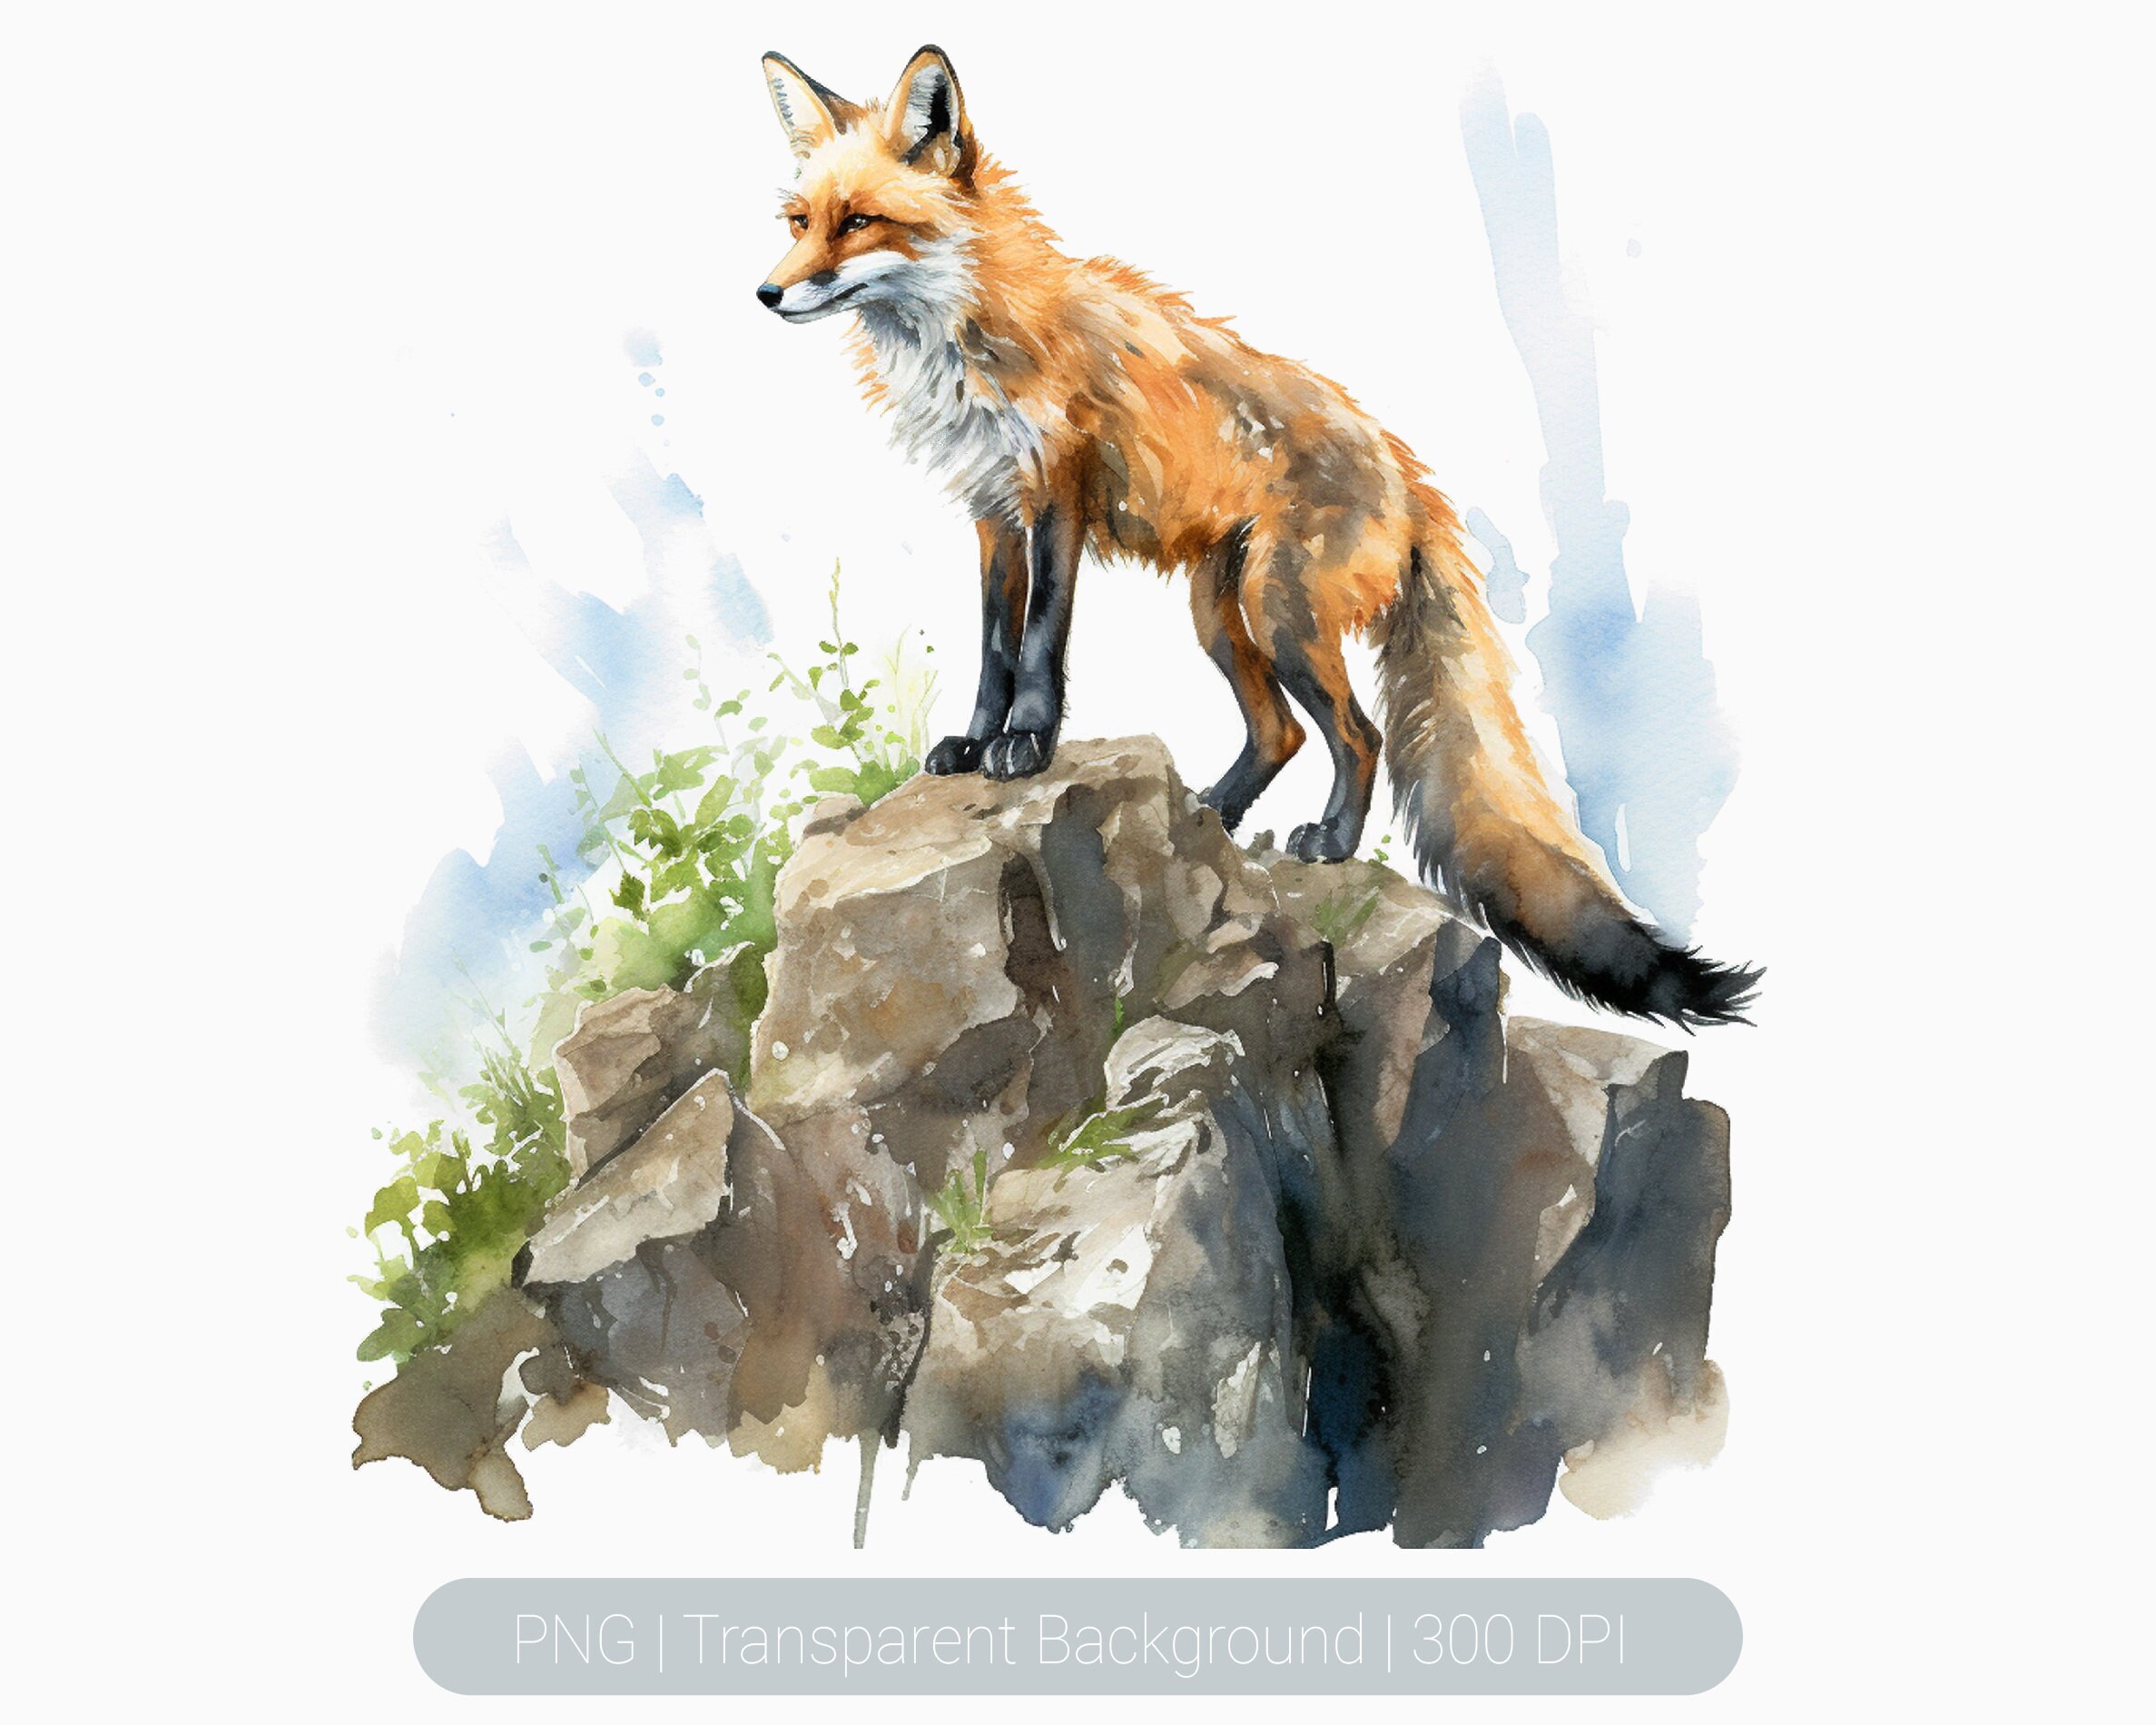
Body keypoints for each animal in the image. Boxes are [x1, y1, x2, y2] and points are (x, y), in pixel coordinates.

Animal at [754, 45, 1759, 1028]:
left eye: (859, 222)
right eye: (801, 220)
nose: (766, 292)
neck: (966, 339)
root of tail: (1406, 468)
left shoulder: (1058, 500)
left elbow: (1040, 645)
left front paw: (1026, 746)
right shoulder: (993, 514)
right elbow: (993, 649)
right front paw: (971, 746)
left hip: (1282, 613)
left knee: (1357, 734)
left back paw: (1329, 841)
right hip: (1221, 614)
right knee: (1277, 733)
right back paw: (1209, 818)